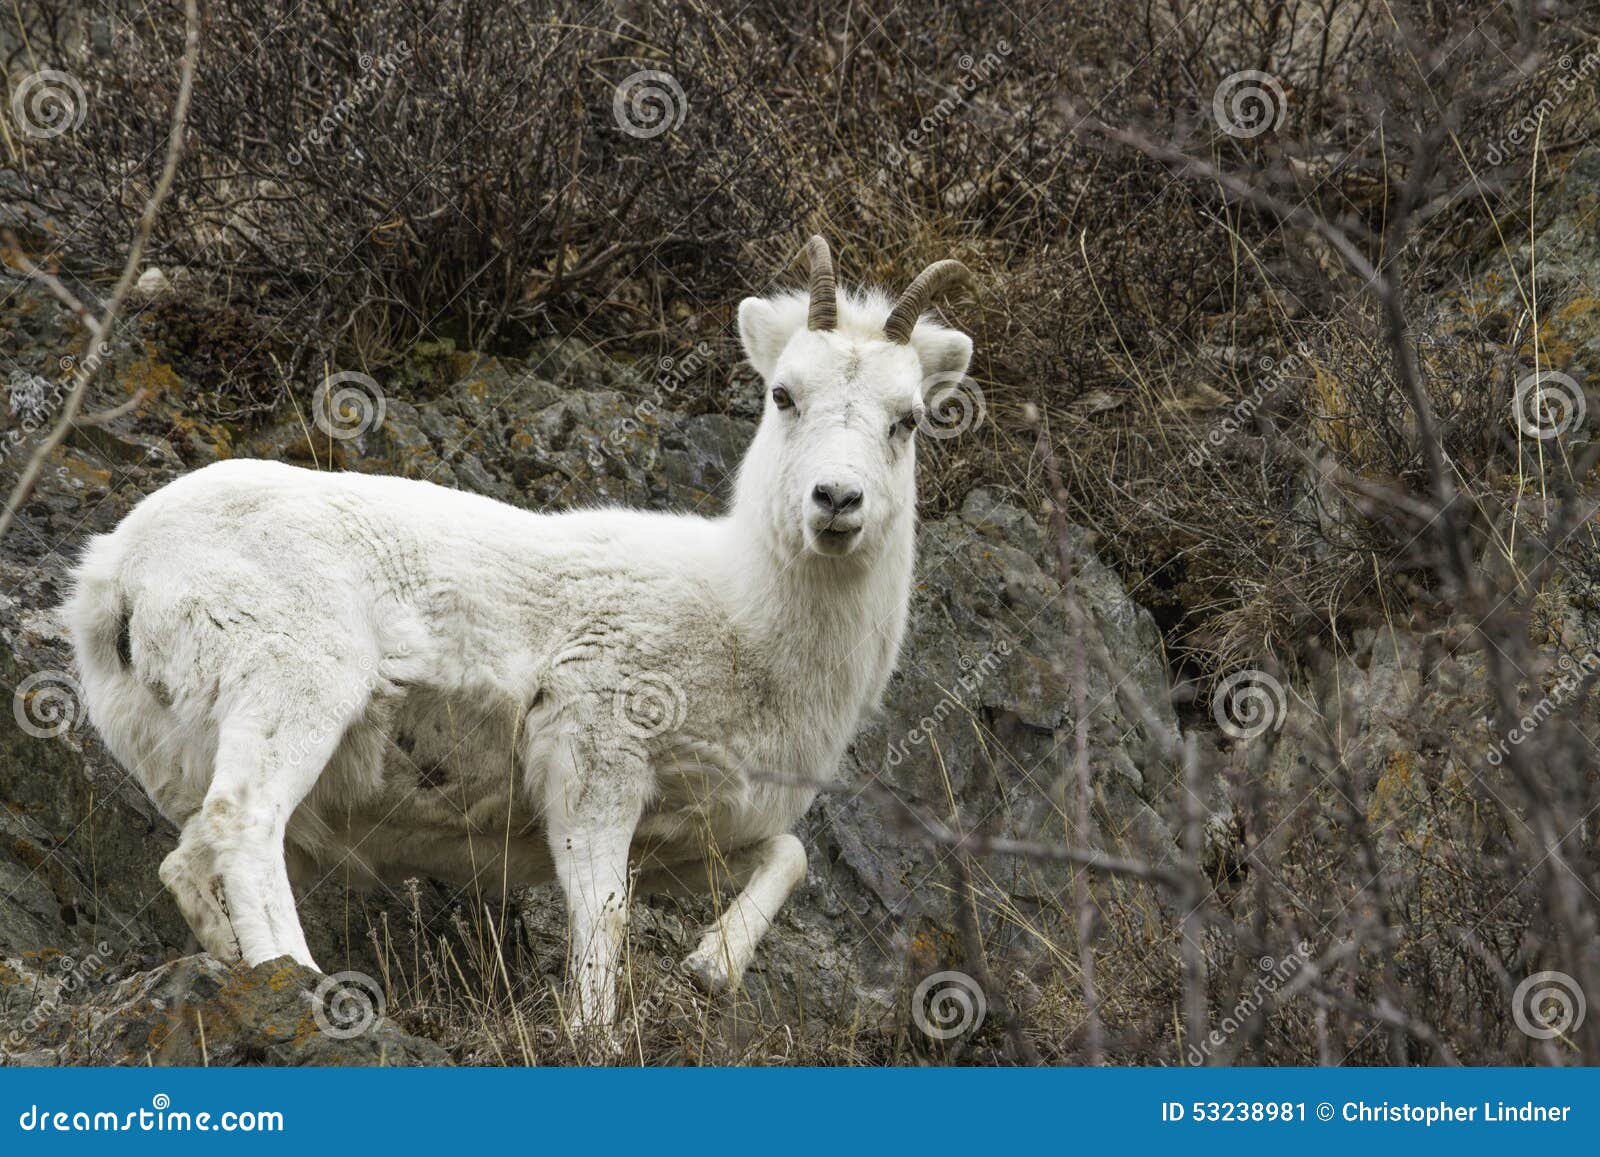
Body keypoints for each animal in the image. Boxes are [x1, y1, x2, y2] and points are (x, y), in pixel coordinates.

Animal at [64, 237, 975, 1036]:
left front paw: (709, 968)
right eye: (783, 395)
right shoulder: (595, 759)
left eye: (908, 419)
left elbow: (788, 855)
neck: (743, 617)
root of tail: (116, 574)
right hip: (295, 688)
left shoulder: (688, 835)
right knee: (244, 822)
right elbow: (602, 915)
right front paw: (593, 1030)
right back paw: (307, 982)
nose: (836, 500)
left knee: (188, 860)